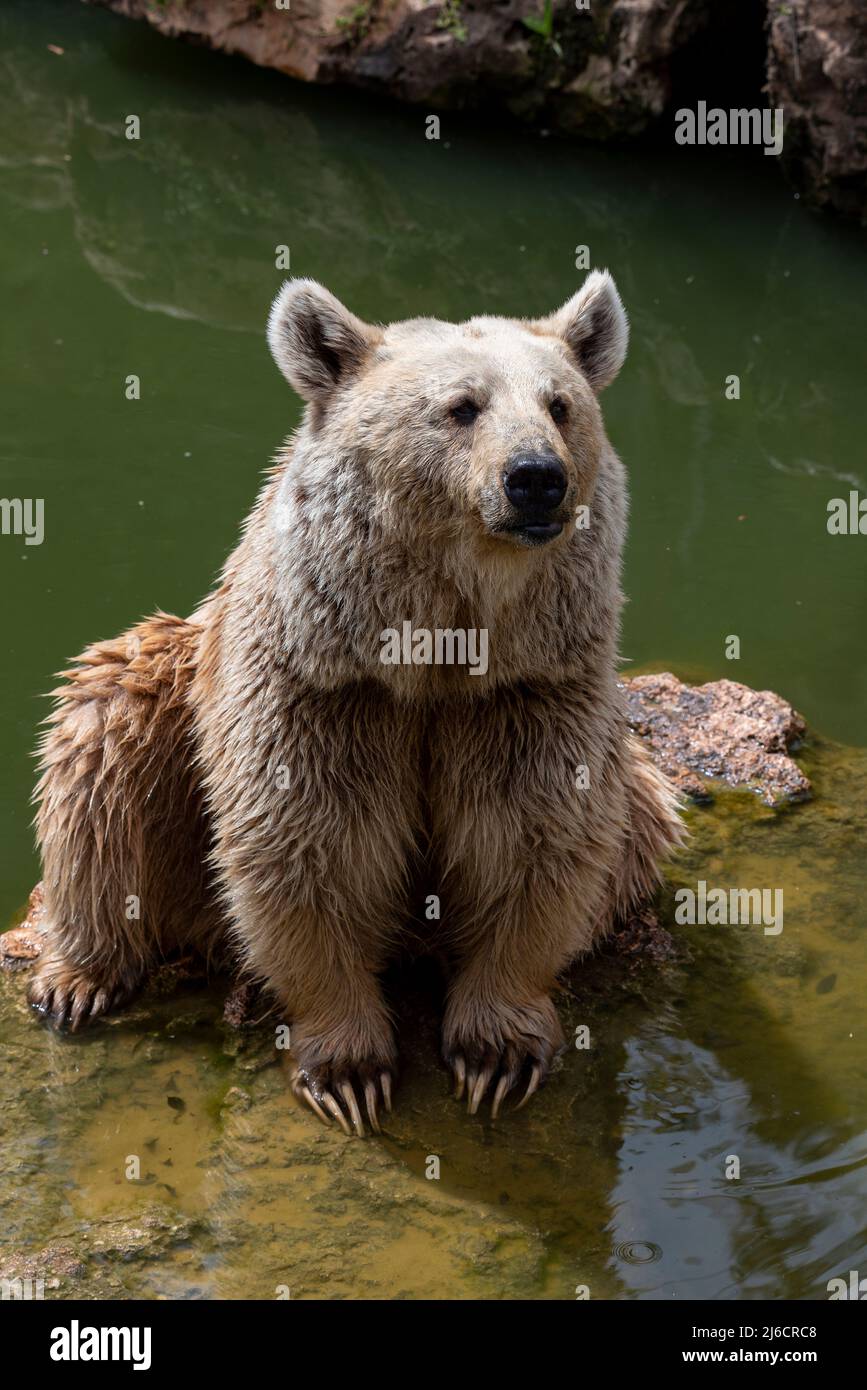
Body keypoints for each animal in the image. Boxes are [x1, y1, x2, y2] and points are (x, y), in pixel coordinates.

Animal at [30, 271, 683, 1135]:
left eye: (559, 404)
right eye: (461, 406)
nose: (536, 477)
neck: (438, 648)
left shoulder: (530, 692)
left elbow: (533, 842)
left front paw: (495, 1053)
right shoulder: (319, 689)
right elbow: (308, 847)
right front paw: (348, 1067)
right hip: (169, 701)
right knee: (98, 752)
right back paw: (76, 979)